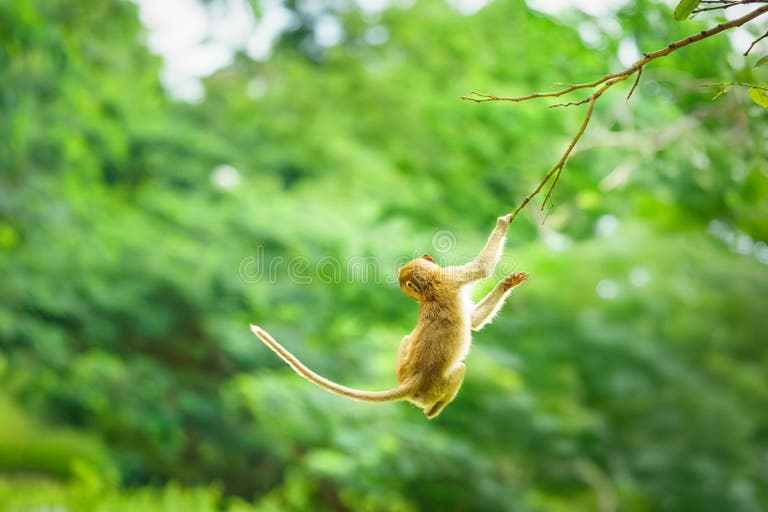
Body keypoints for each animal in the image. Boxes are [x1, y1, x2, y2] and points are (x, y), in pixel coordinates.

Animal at [250, 213, 528, 418]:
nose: (415, 299)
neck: (430, 288)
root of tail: (412, 382)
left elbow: (475, 321)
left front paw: (507, 283)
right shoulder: (451, 276)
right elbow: (482, 269)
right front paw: (503, 223)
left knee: (407, 339)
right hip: (437, 386)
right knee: (459, 370)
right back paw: (432, 411)